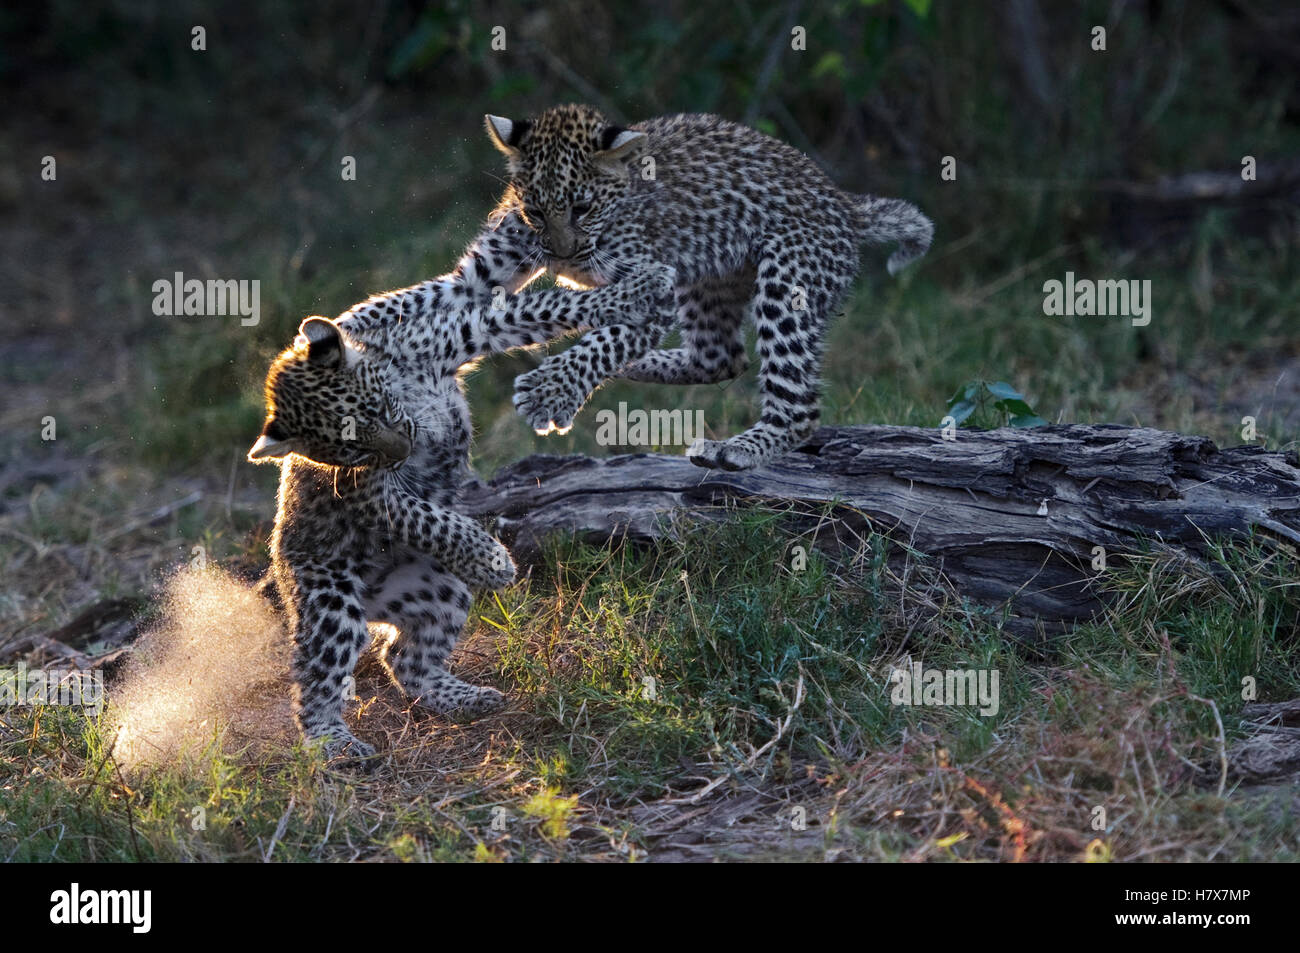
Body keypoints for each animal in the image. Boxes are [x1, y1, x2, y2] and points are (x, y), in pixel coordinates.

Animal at [247, 210, 675, 760]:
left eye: (378, 411)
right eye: (353, 453)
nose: (402, 451)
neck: (396, 371)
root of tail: (373, 604)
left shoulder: (465, 328)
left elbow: (540, 306)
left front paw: (637, 289)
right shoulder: (369, 492)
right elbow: (427, 519)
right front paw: (491, 561)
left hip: (437, 587)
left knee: (403, 657)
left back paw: (466, 698)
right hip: (327, 598)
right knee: (315, 679)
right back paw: (334, 745)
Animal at [480, 103, 934, 470]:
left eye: (582, 208)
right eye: (536, 210)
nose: (563, 256)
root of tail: (846, 205)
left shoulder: (653, 287)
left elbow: (606, 343)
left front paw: (549, 393)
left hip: (788, 281)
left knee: (797, 405)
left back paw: (739, 448)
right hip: (707, 283)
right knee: (720, 357)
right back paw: (637, 367)